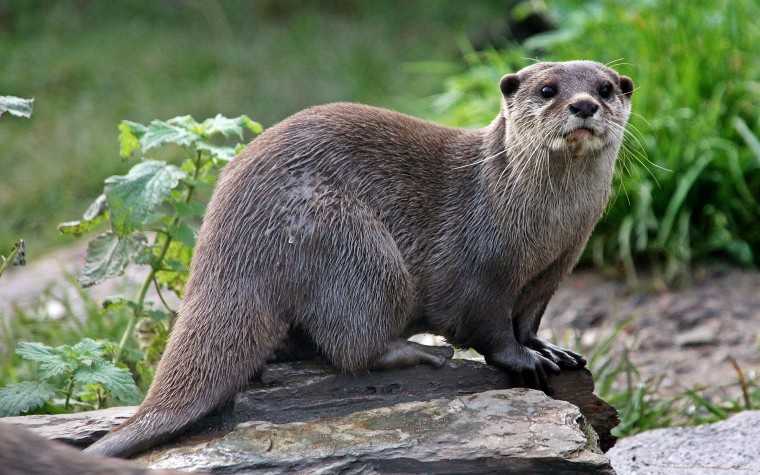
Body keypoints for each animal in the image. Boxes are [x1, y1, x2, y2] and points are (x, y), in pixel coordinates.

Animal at [86, 60, 634, 458]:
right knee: (351, 345)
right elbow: (490, 328)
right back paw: (419, 353)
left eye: (606, 88)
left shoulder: (555, 269)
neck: (538, 222)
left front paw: (550, 350)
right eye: (547, 89)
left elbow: (528, 320)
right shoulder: (480, 269)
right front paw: (523, 360)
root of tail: (224, 244)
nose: (584, 105)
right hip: (348, 241)